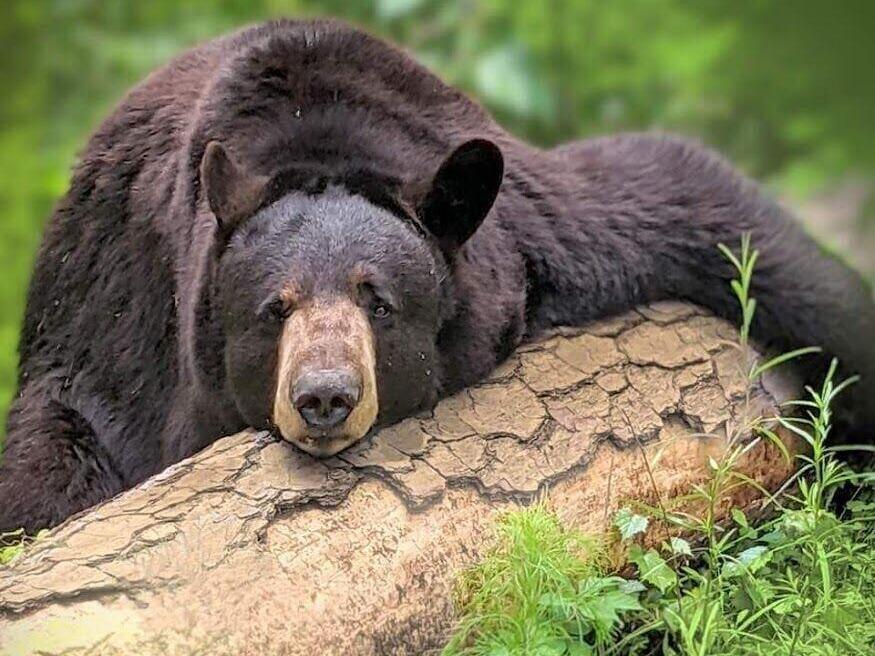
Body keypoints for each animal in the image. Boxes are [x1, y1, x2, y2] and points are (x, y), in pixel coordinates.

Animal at [1, 18, 873, 534]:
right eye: (272, 308)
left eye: (377, 301)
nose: (324, 396)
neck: (310, 132)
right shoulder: (125, 336)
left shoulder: (551, 235)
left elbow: (712, 213)